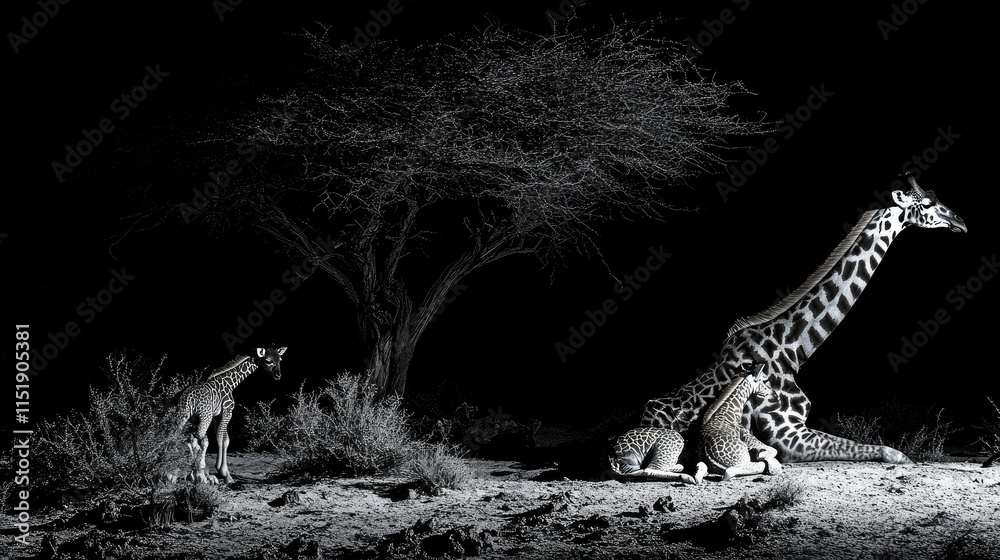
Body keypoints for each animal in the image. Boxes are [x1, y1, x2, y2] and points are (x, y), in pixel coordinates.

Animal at [176, 346, 286, 483]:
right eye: (268, 361)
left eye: (280, 359)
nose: (278, 375)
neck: (231, 383)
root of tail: (188, 399)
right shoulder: (227, 412)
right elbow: (224, 439)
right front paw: (225, 474)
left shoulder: (216, 416)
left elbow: (220, 438)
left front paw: (217, 471)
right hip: (204, 417)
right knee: (200, 439)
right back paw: (200, 474)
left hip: (182, 416)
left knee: (179, 438)